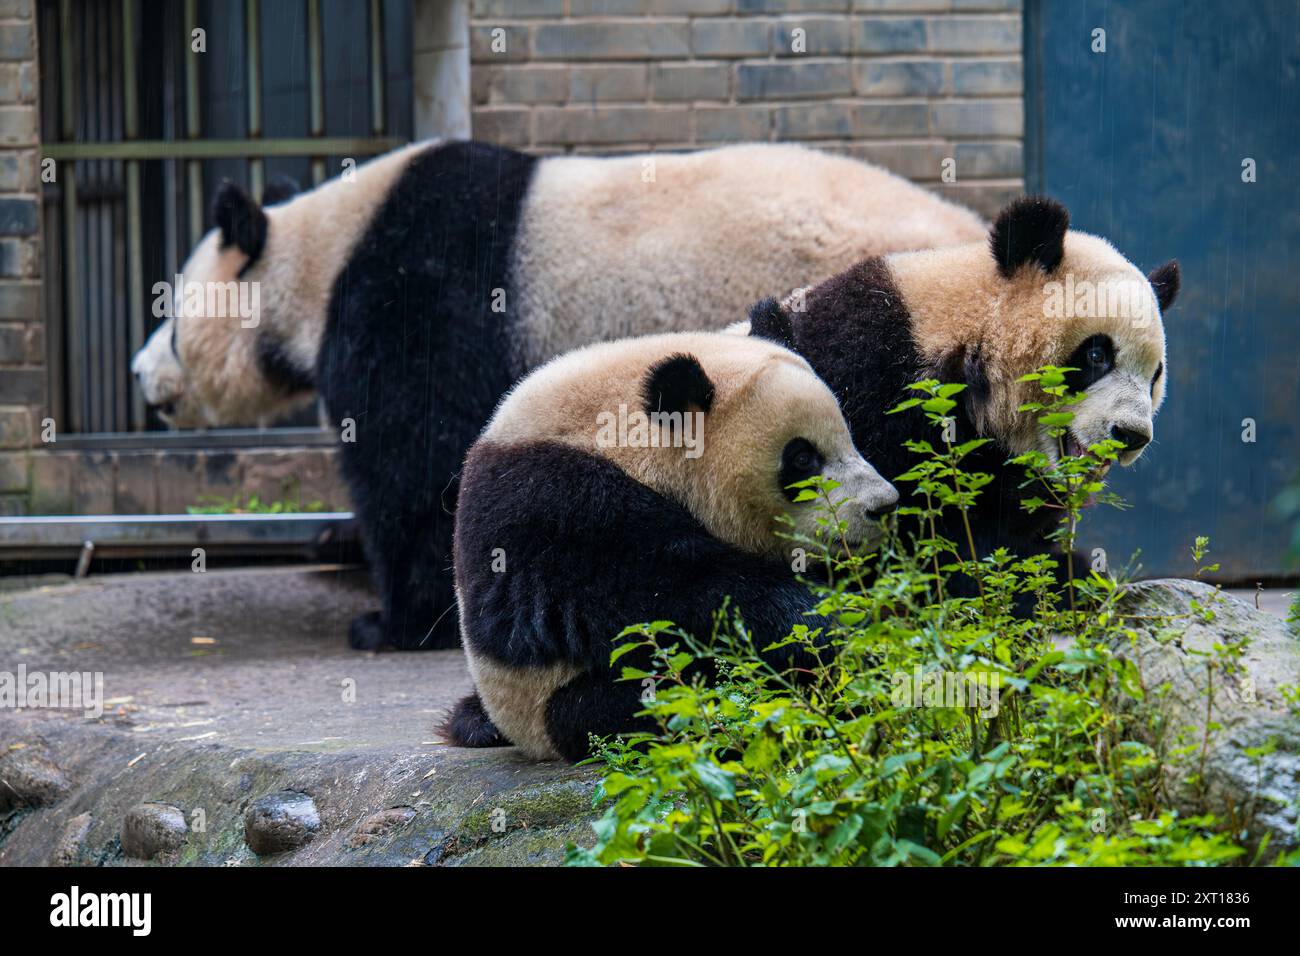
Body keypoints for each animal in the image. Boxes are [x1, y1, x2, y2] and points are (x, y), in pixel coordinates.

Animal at [130, 139, 984, 651]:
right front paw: (336, 553)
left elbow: (415, 462)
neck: (320, 254)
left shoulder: (416, 294)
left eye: (169, 317)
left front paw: (390, 621)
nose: (142, 377)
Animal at [443, 328, 899, 761]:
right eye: (803, 458)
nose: (884, 505)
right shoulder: (557, 508)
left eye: (849, 438)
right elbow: (676, 593)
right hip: (563, 704)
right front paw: (845, 631)